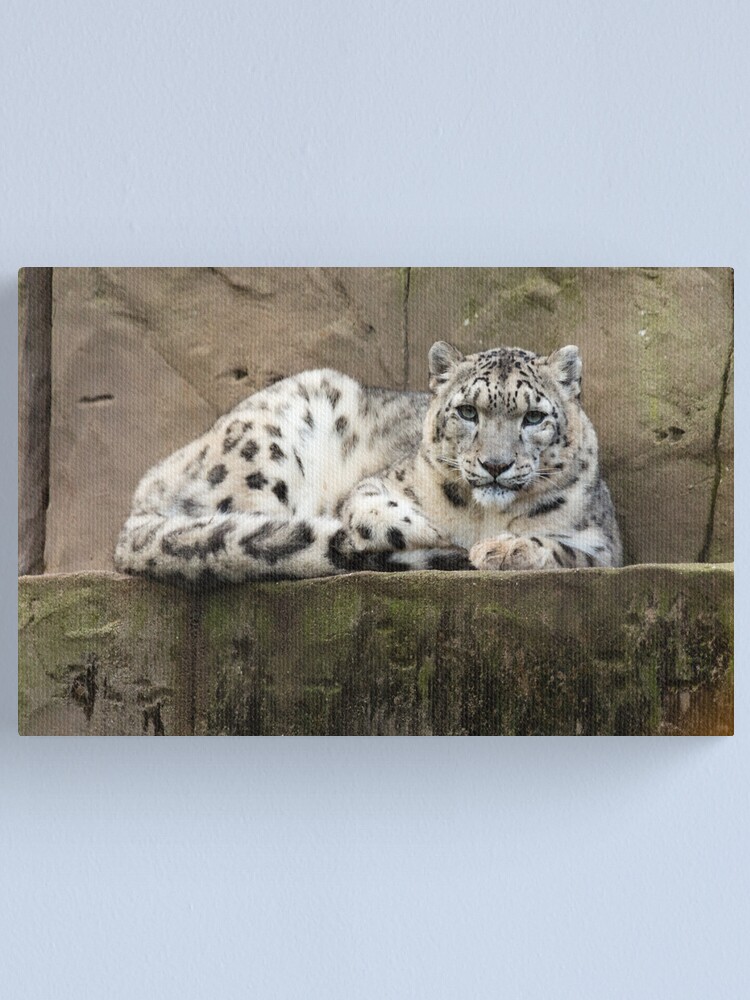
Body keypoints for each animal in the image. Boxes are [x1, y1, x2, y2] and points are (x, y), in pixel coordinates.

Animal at [114, 341, 622, 583]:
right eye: (467, 411)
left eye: (534, 417)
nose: (495, 465)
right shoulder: (383, 482)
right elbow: (366, 505)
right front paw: (429, 531)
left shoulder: (603, 545)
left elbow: (559, 547)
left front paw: (504, 550)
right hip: (265, 449)